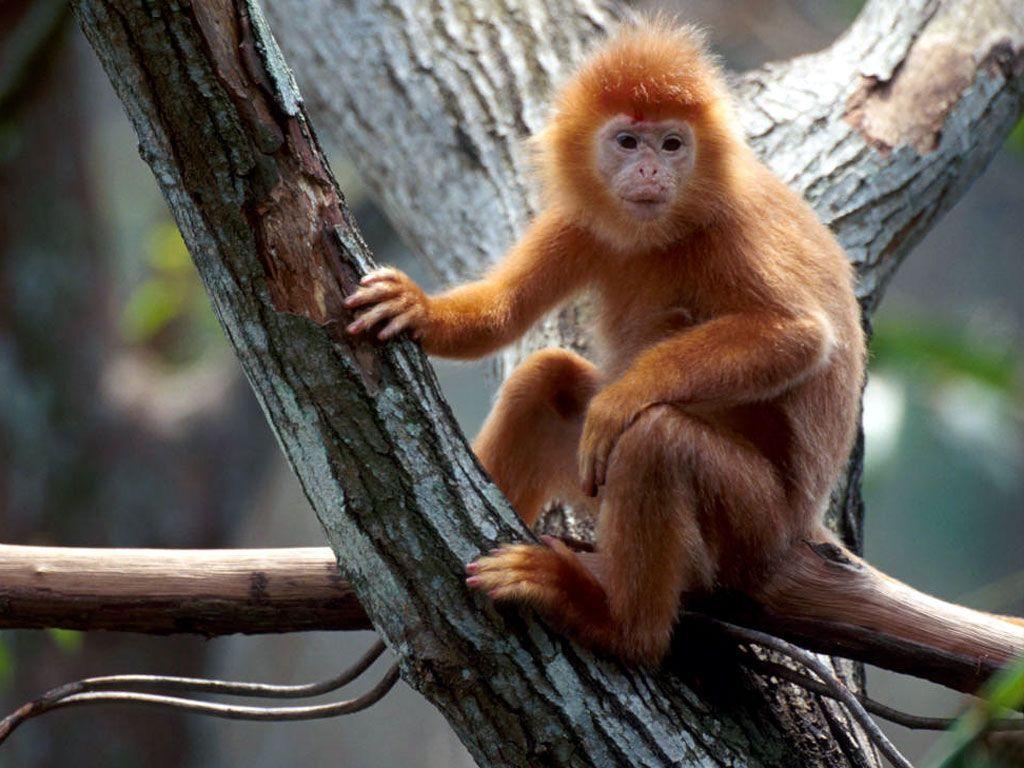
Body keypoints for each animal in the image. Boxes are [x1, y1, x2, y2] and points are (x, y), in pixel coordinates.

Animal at [344, 20, 1024, 667]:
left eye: (672, 145)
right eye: (628, 142)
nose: (650, 169)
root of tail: (804, 534)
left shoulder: (734, 223)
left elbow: (797, 337)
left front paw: (621, 400)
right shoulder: (582, 217)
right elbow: (505, 312)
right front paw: (418, 310)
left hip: (751, 527)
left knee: (655, 441)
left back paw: (614, 623)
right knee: (548, 380)